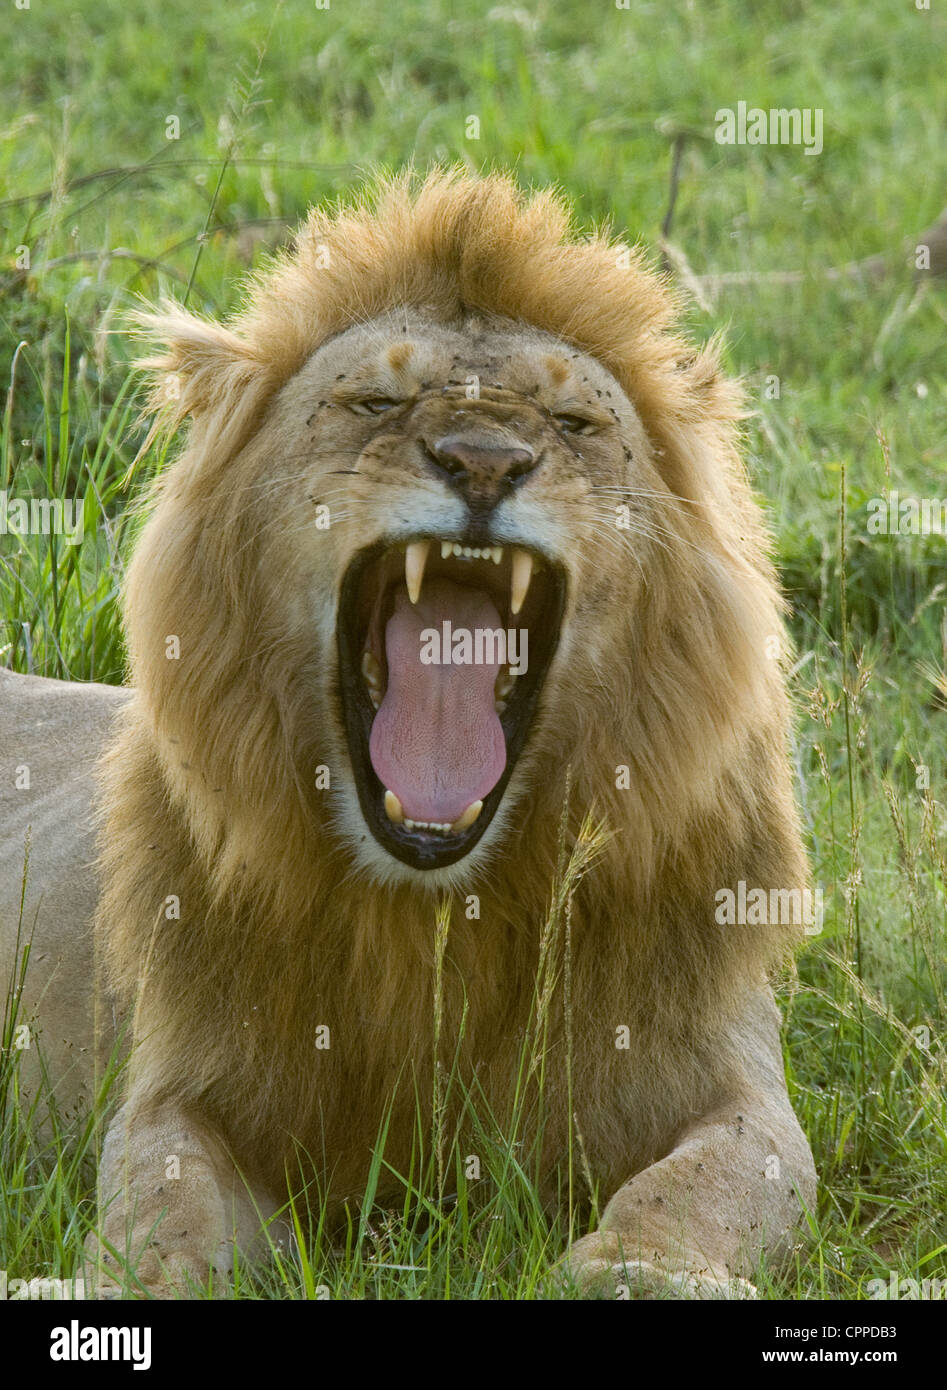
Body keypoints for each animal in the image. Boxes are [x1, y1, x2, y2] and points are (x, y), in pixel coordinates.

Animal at [0, 167, 816, 1299]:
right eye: (374, 404)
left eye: (571, 420)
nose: (482, 461)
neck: (441, 914)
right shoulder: (180, 1088)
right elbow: (165, 1204)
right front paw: (121, 1288)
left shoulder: (734, 1079)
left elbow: (705, 1180)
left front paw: (637, 1270)